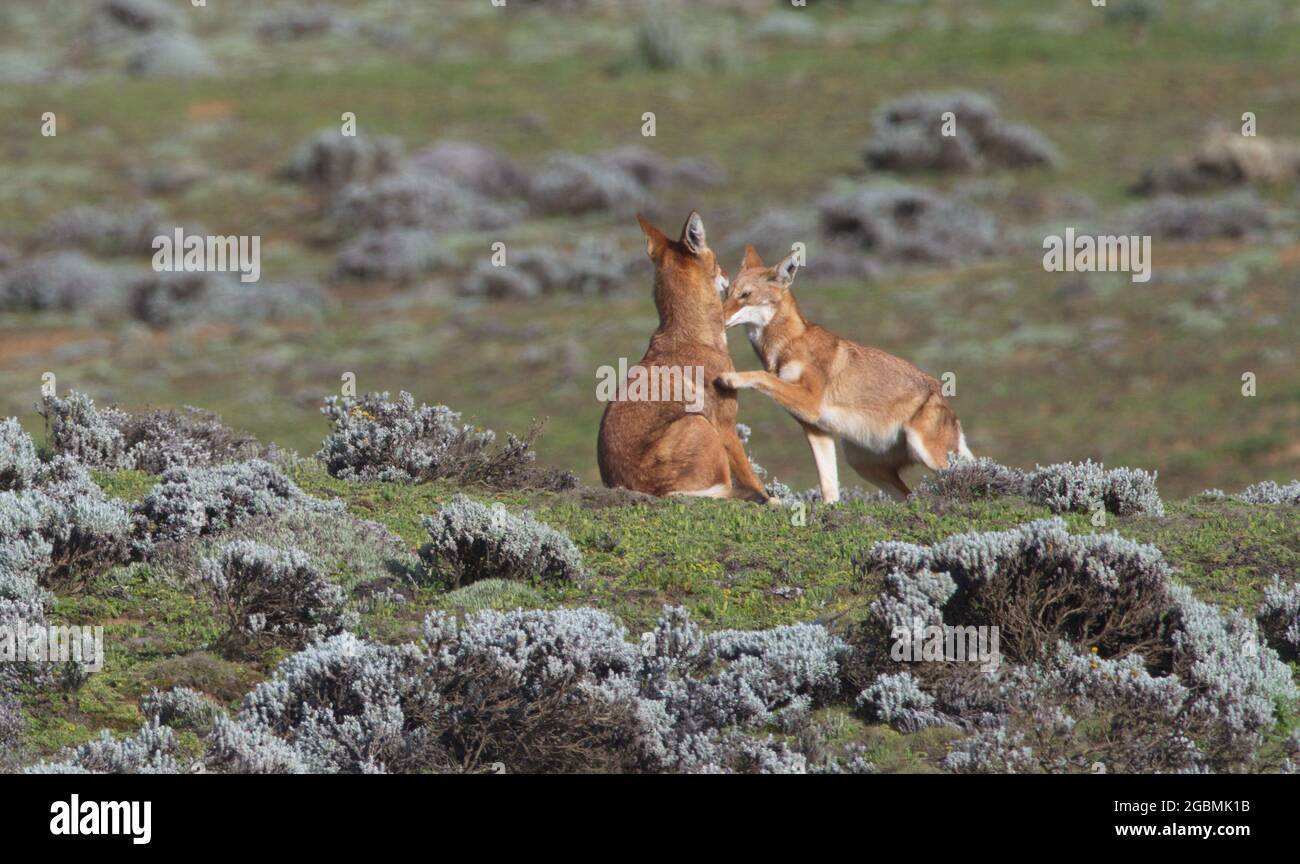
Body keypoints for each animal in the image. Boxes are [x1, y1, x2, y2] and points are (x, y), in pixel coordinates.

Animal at [597, 213, 771, 503]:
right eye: (718, 260)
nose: (728, 277)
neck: (694, 334)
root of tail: (652, 492)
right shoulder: (726, 426)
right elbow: (754, 480)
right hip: (699, 423)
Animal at [717, 245, 972, 501]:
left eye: (745, 295)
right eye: (726, 293)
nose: (716, 319)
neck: (788, 344)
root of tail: (944, 400)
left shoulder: (809, 403)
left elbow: (761, 376)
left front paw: (730, 378)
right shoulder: (816, 430)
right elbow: (829, 488)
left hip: (928, 455)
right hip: (863, 465)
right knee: (910, 497)